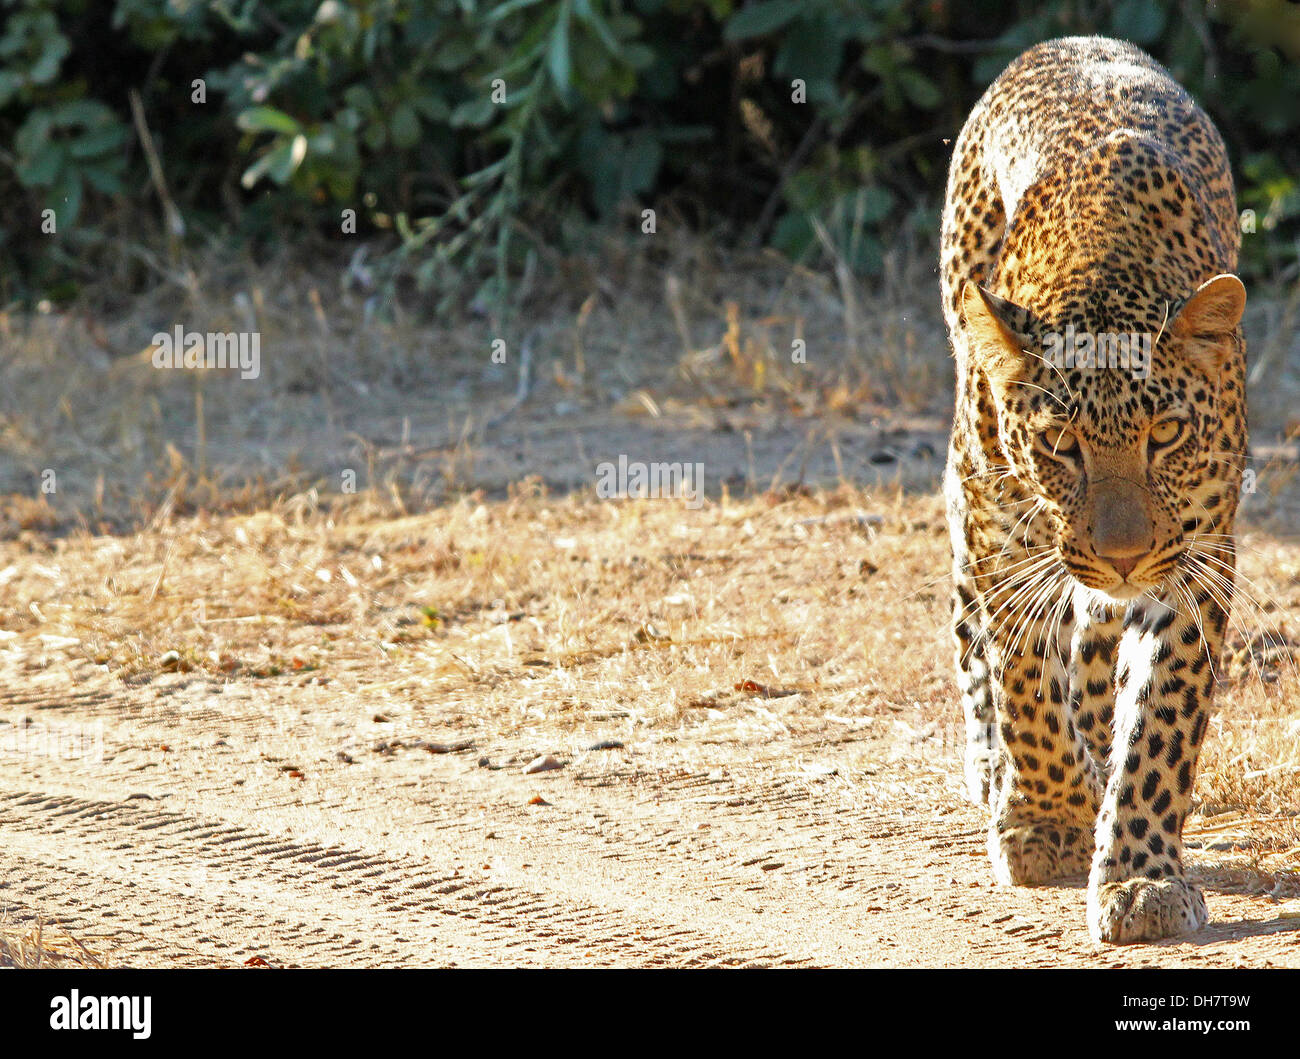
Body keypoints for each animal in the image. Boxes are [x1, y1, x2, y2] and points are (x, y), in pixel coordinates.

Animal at [939, 36, 1248, 944]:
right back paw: (998, 770)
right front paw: (1048, 818)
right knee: (975, 624)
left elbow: (1161, 724)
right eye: (1060, 446)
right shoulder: (1004, 531)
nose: (1122, 556)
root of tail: (1067, 40)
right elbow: (1023, 685)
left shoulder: (1196, 555)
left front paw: (1142, 875)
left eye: (1167, 435)